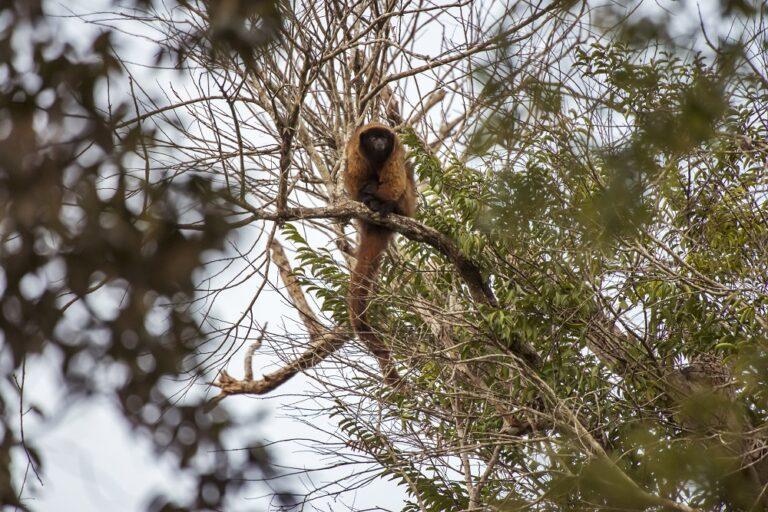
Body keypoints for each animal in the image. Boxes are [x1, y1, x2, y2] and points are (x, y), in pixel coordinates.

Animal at [344, 122, 417, 385]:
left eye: (383, 138)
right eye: (373, 137)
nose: (379, 142)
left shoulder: (395, 152)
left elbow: (395, 181)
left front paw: (381, 201)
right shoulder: (356, 151)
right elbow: (354, 179)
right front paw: (366, 195)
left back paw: (388, 207)